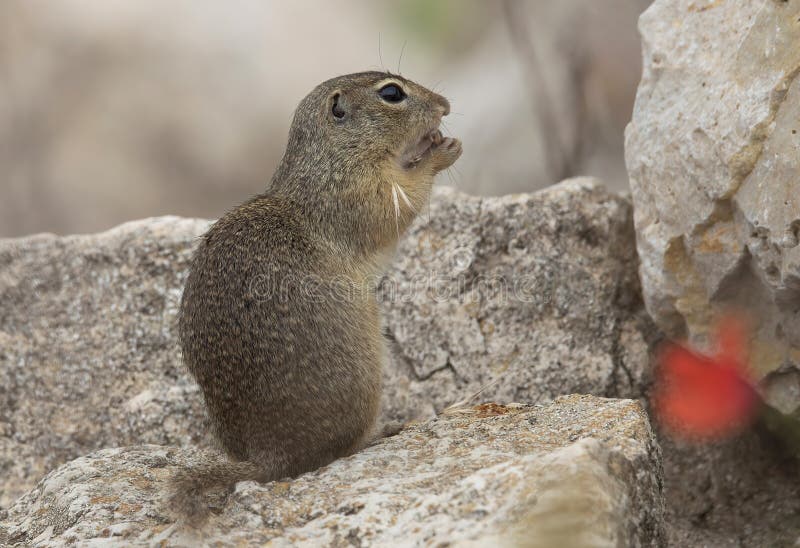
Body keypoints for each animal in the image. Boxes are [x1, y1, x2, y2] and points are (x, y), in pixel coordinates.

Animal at [172, 71, 461, 521]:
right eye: (392, 93)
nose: (445, 106)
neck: (330, 159)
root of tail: (267, 457)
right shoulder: (359, 195)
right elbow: (400, 203)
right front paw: (438, 152)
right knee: (337, 451)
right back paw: (383, 430)